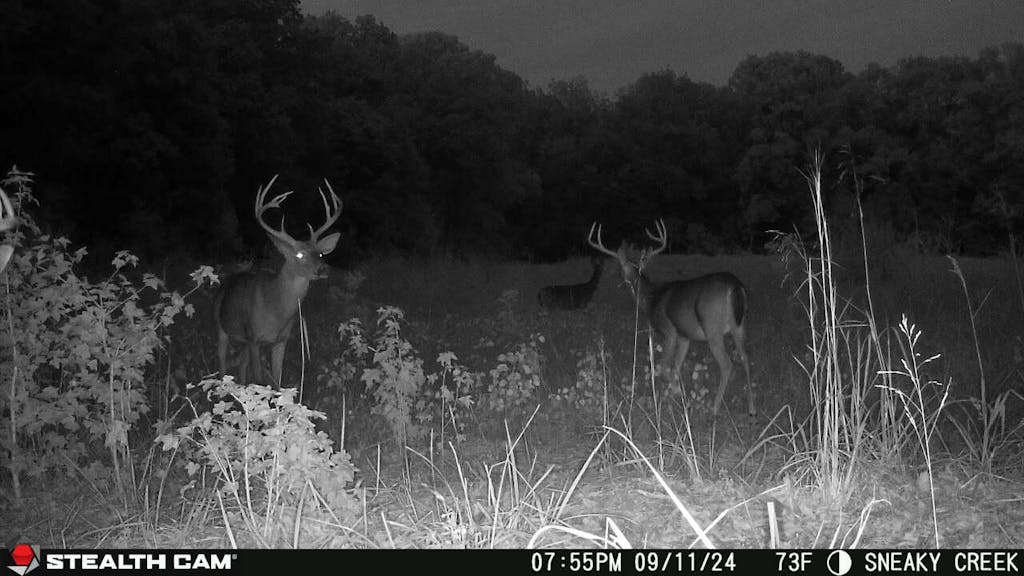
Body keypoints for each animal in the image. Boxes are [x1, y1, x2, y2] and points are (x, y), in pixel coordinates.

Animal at [214, 175, 342, 389]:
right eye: (299, 254)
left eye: (320, 254)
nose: (323, 270)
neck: (275, 307)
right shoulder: (254, 337)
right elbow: (259, 380)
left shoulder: (280, 340)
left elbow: (277, 382)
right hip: (221, 327)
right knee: (222, 365)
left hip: (243, 341)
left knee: (241, 366)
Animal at [588, 219, 754, 416]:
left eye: (620, 269)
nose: (626, 282)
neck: (652, 299)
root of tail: (735, 287)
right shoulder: (684, 336)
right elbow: (676, 367)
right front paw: (677, 396)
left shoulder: (669, 331)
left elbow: (662, 369)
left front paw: (673, 396)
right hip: (740, 324)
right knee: (745, 358)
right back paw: (752, 408)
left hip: (712, 327)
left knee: (727, 364)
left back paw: (714, 408)